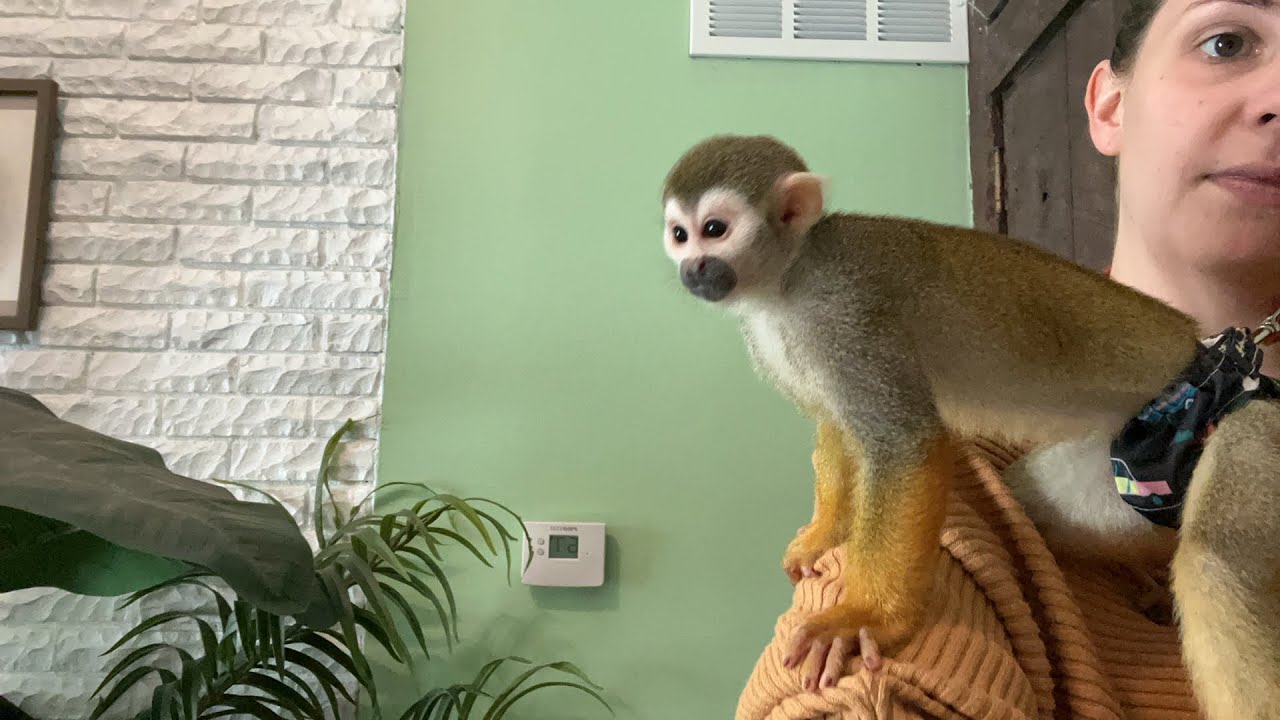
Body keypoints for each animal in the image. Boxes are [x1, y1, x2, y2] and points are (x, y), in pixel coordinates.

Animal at [659, 133, 1280, 714]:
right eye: (679, 235)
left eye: (714, 229)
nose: (694, 270)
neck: (784, 286)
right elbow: (839, 429)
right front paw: (824, 536)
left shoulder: (846, 315)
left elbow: (903, 443)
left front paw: (865, 616)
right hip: (1134, 469)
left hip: (1246, 429)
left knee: (1215, 562)